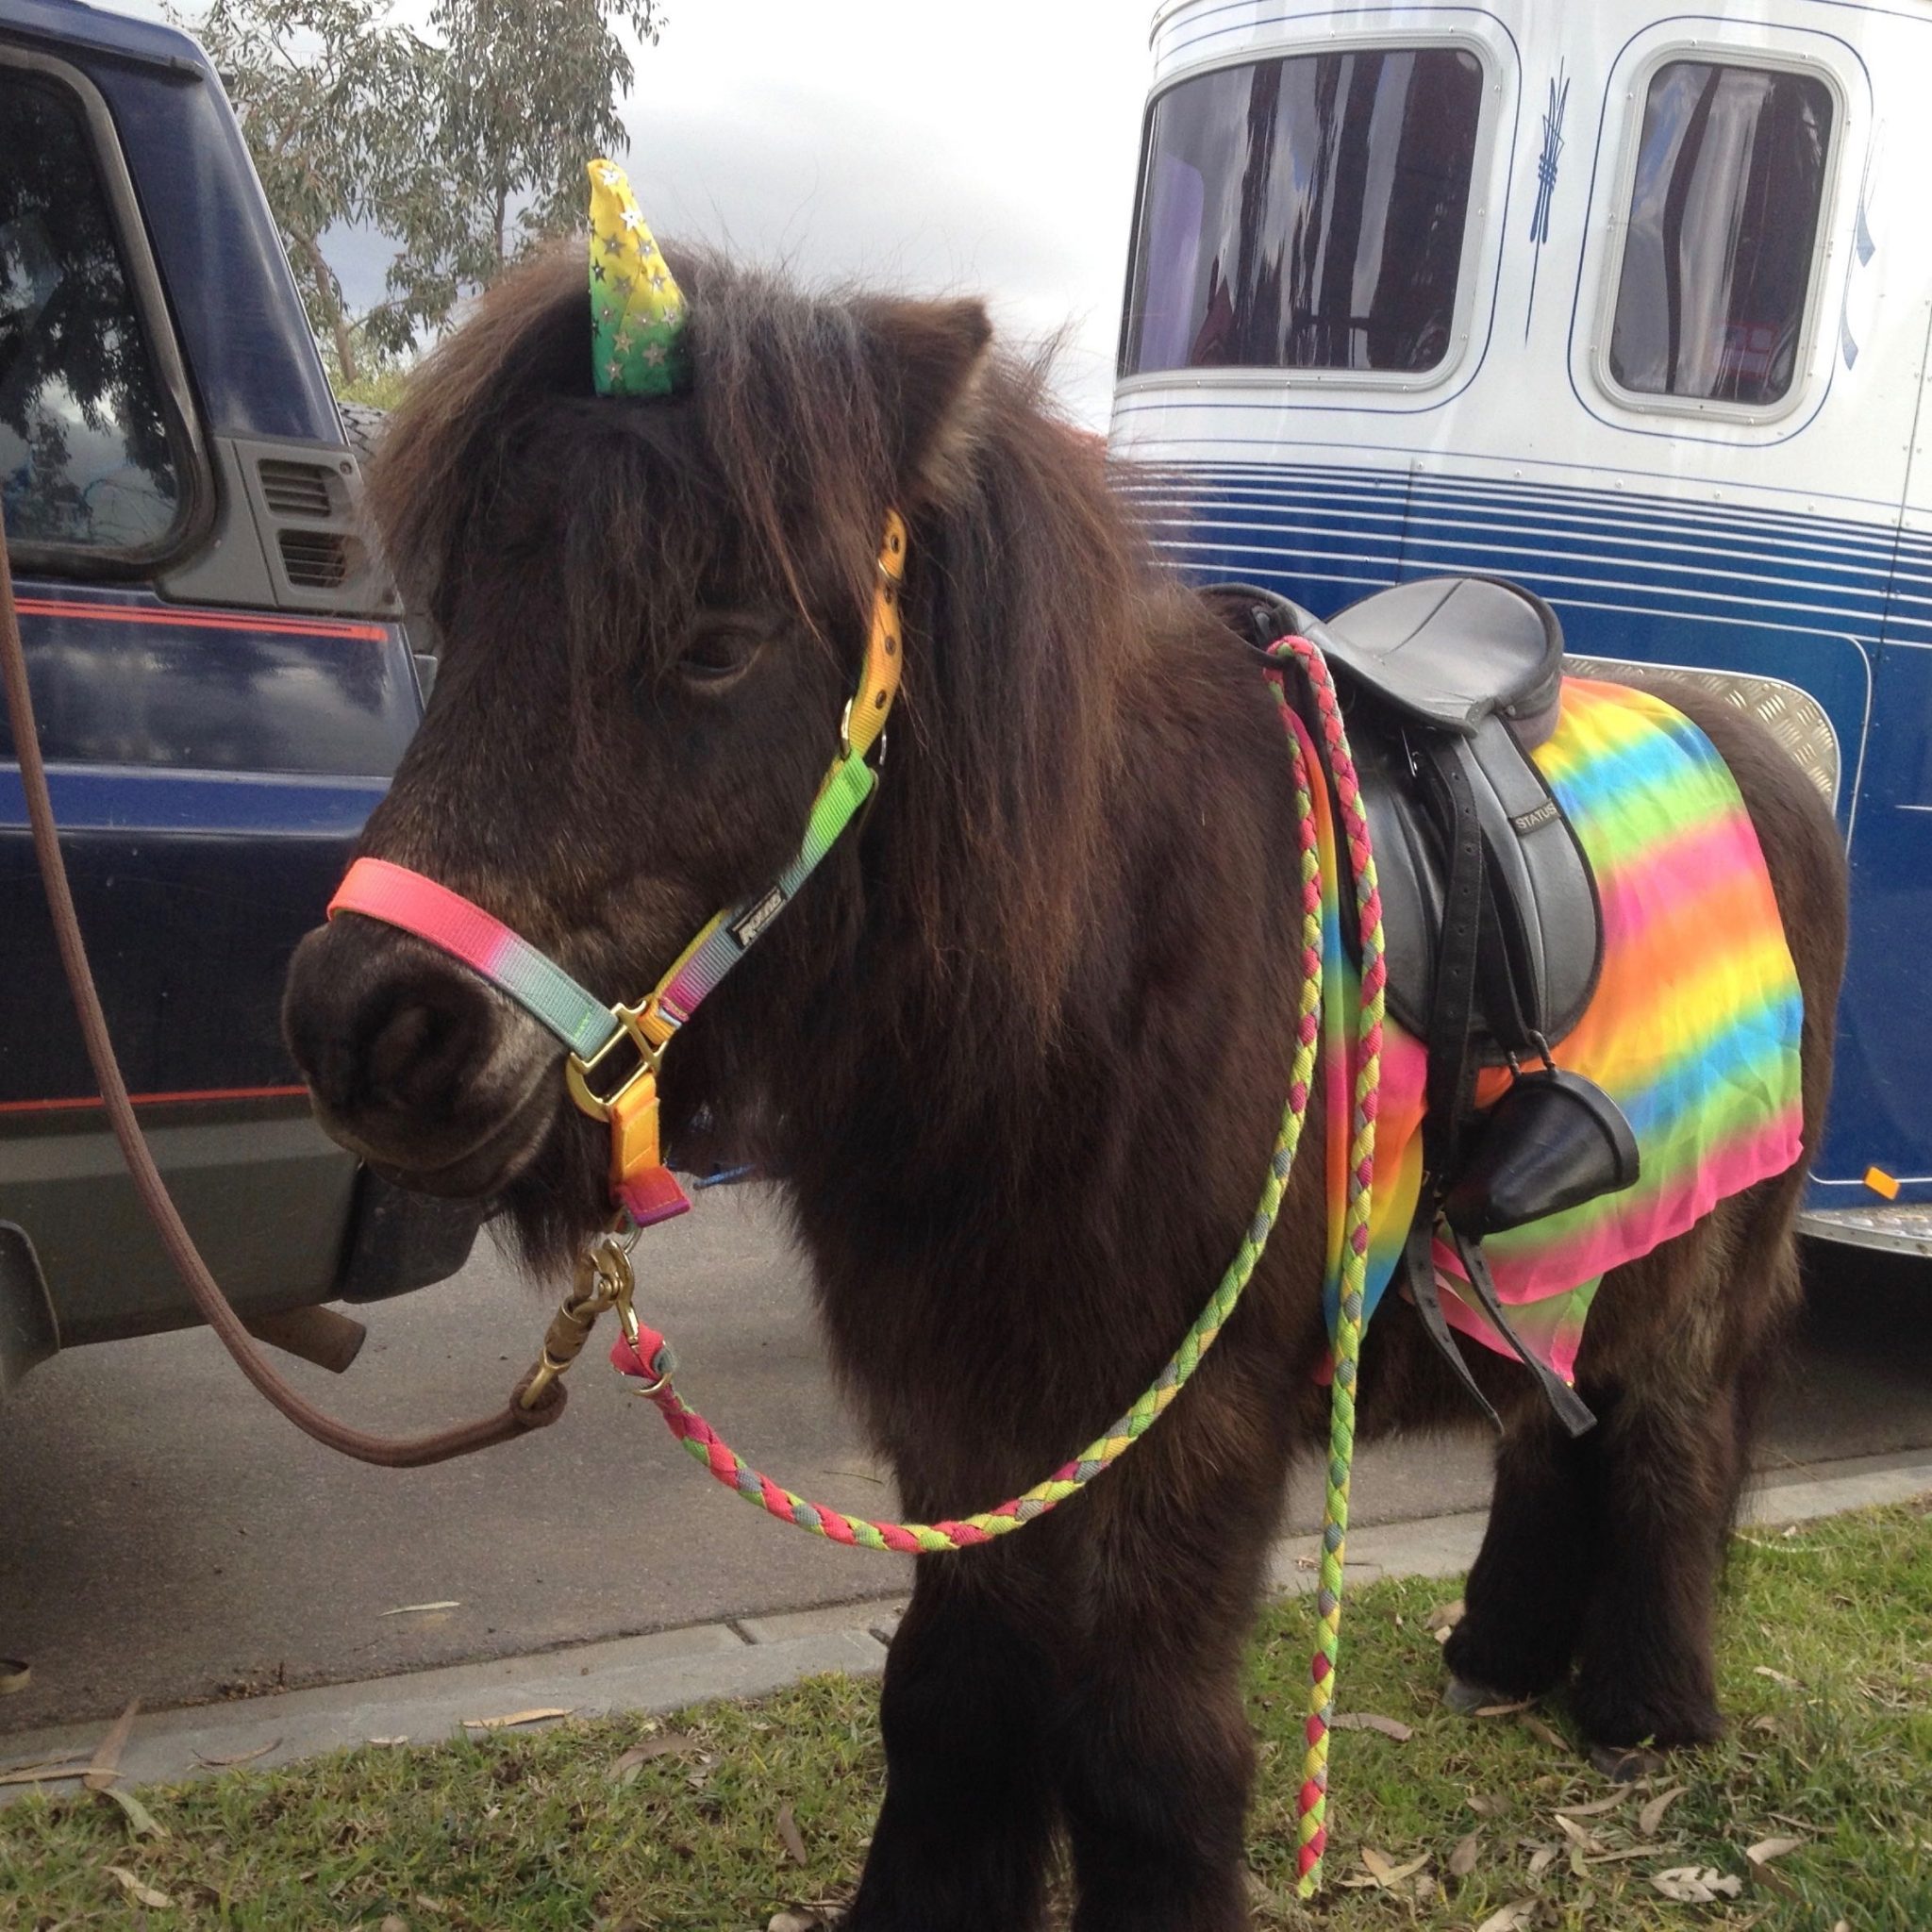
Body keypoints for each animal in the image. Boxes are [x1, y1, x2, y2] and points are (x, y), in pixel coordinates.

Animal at [282, 241, 1848, 1932]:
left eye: (714, 642)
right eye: (458, 617)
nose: (366, 1030)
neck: (1077, 992)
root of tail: (1766, 763)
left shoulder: (1183, 1438)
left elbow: (1148, 1754)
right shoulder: (969, 1424)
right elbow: (946, 1701)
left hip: (1698, 1263)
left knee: (1665, 1443)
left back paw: (1644, 1710)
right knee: (1550, 1429)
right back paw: (1496, 1654)